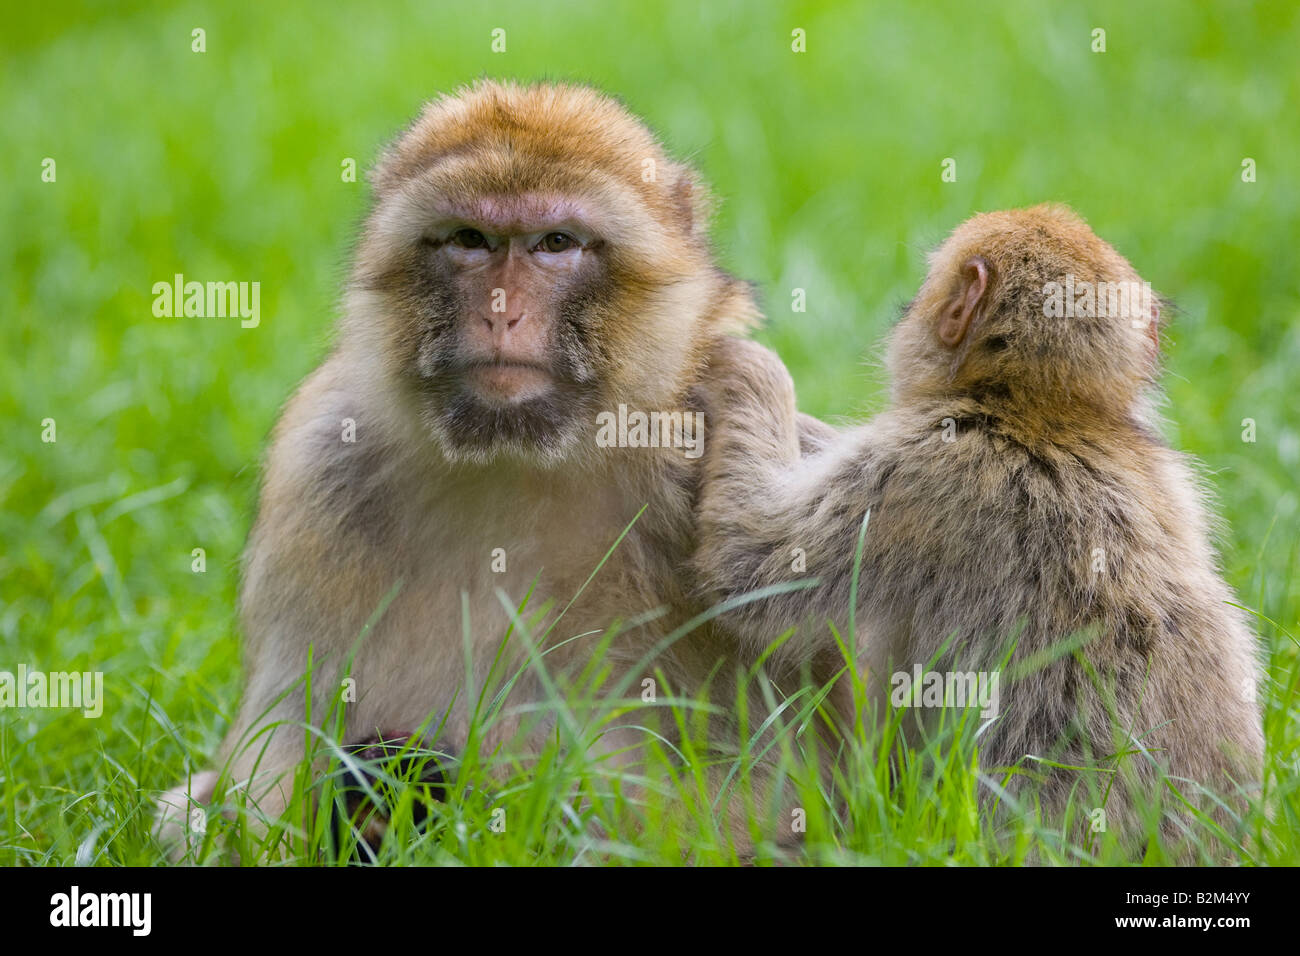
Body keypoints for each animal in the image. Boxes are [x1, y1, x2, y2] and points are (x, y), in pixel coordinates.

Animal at [155, 79, 835, 859]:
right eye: (470, 240)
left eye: (555, 243)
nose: (502, 312)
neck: (521, 456)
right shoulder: (321, 465)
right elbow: (275, 750)